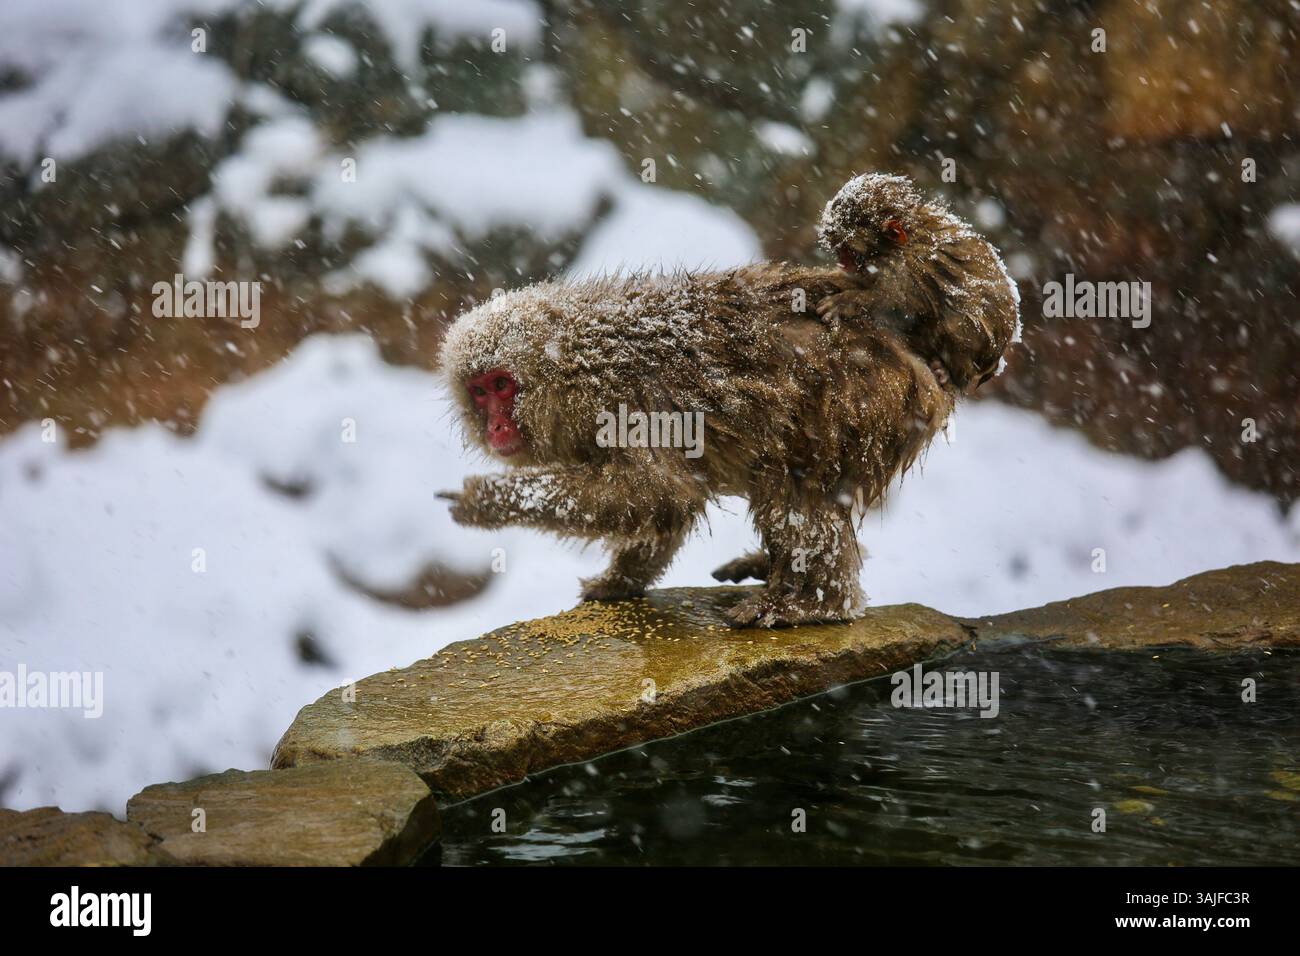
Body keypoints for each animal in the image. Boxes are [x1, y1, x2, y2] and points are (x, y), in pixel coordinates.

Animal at [813, 173, 1021, 391]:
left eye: (849, 251)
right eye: (839, 249)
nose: (843, 263)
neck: (904, 246)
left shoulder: (906, 272)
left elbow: (895, 302)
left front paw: (845, 303)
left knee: (957, 322)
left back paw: (947, 372)